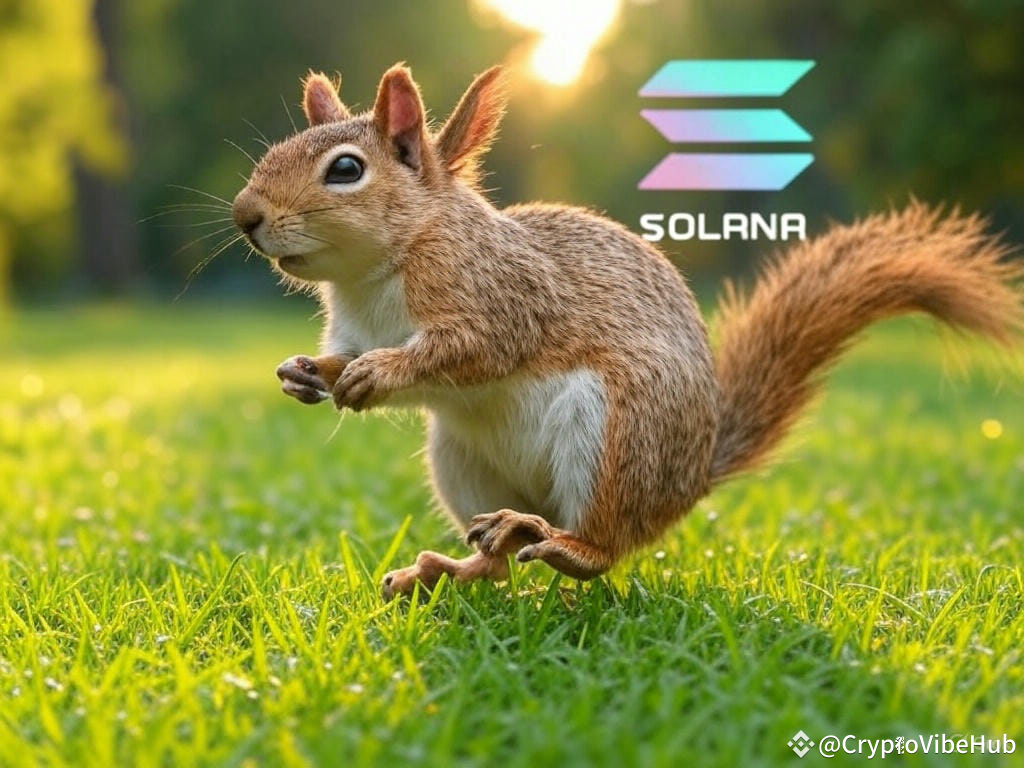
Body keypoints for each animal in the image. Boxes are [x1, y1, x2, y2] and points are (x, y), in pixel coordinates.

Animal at [231, 64, 1023, 599]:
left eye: (345, 169)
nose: (245, 215)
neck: (376, 273)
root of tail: (690, 477)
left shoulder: (503, 297)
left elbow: (472, 350)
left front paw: (383, 374)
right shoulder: (351, 325)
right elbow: (341, 355)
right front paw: (307, 374)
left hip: (617, 429)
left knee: (605, 544)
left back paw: (556, 544)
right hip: (459, 460)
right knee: (498, 559)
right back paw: (454, 565)